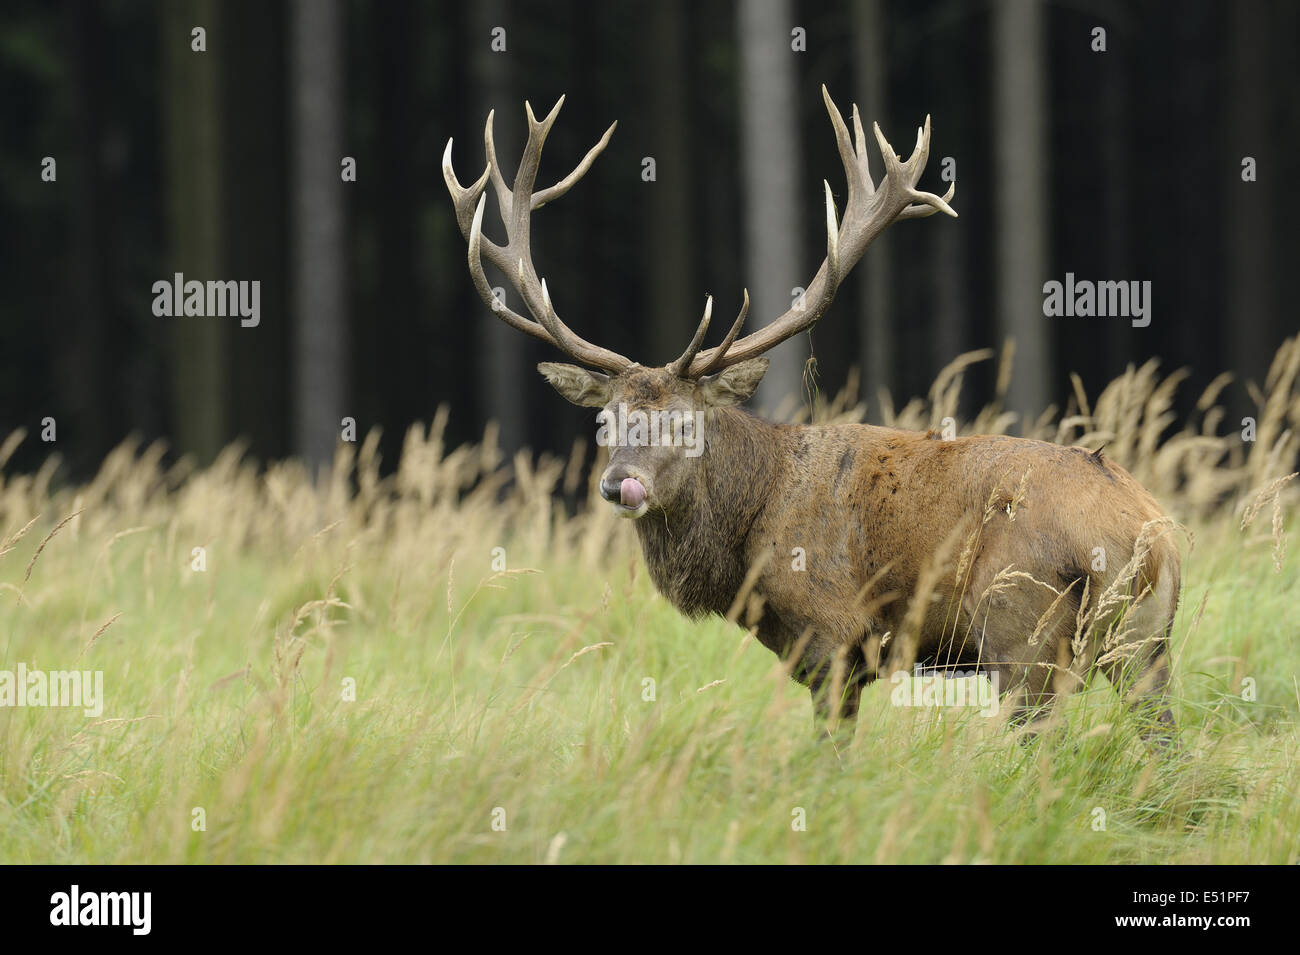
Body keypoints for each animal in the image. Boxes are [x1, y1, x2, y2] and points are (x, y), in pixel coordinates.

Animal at [442, 88, 1182, 743]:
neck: (748, 535)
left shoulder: (831, 632)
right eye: (607, 421)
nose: (619, 483)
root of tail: (1150, 538)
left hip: (1020, 626)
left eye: (685, 422)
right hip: (1146, 642)